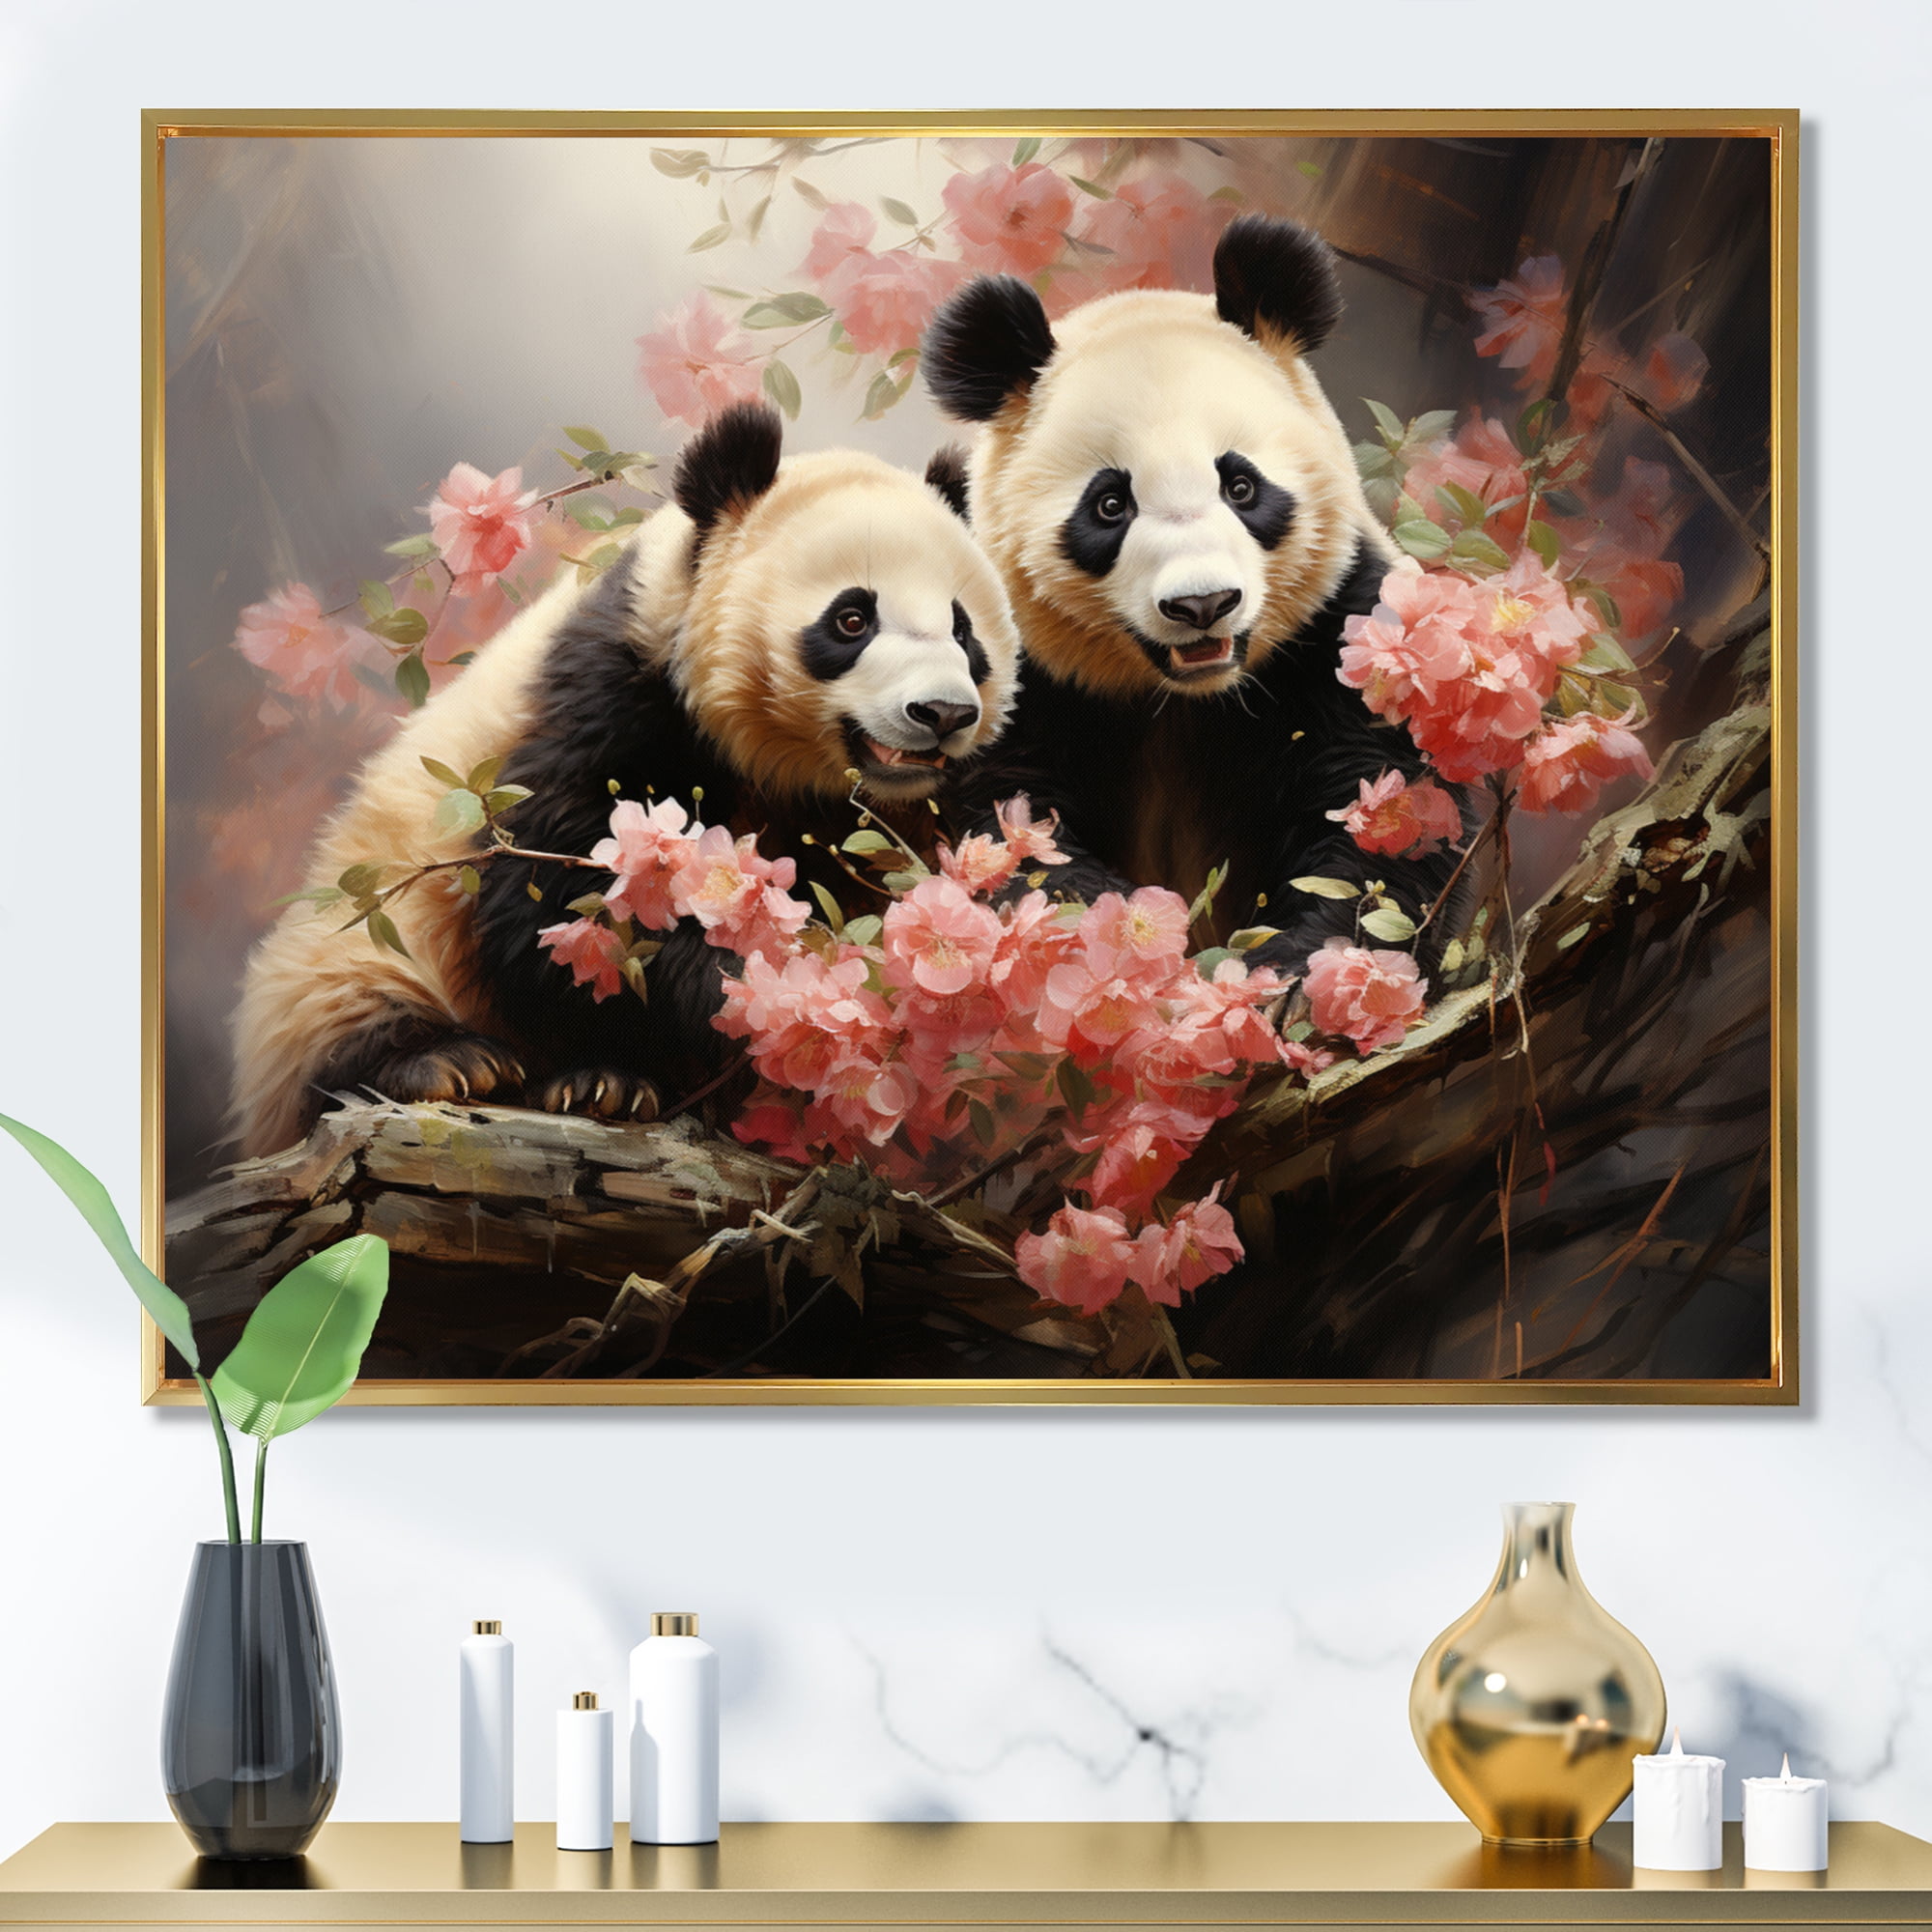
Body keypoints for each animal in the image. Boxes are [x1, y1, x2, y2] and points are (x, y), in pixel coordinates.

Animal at [231, 403, 1020, 1158]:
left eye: (964, 631)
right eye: (852, 618)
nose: (943, 713)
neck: (786, 764)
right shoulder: (611, 692)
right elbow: (558, 896)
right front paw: (744, 982)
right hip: (368, 920)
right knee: (329, 1010)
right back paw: (466, 1066)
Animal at [921, 213, 1470, 982]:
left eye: (1240, 486)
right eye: (1110, 505)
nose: (1203, 604)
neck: (1188, 699)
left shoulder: (1340, 633)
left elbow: (1388, 815)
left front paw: (1298, 976)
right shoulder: (1006, 669)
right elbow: (1015, 828)